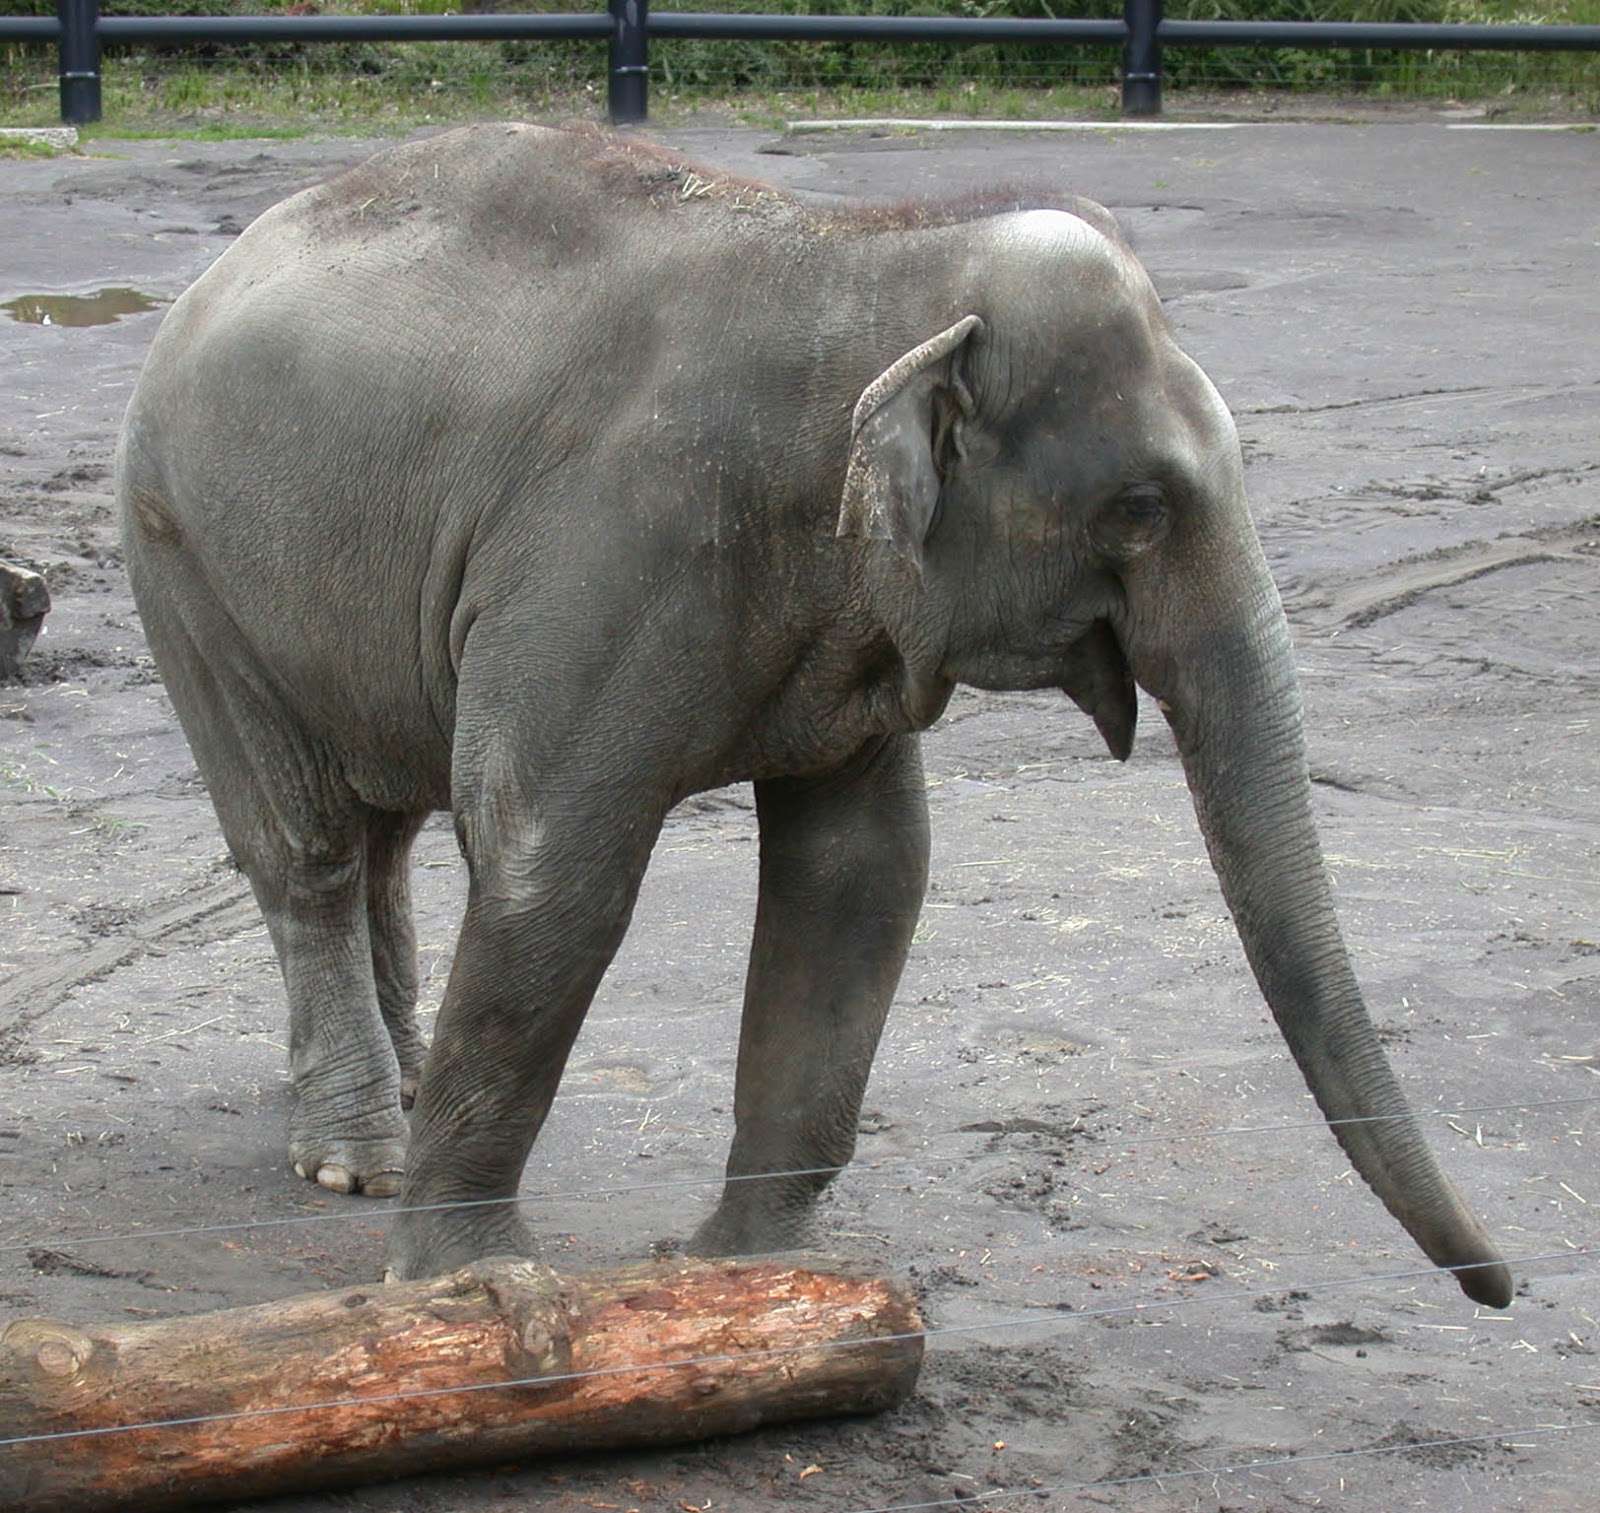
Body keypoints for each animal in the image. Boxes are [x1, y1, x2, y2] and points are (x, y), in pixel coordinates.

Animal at [117, 123, 1511, 1306]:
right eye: (1138, 510)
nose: (1499, 1288)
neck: (879, 256)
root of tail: (231, 255)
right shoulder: (608, 552)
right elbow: (549, 864)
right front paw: (474, 1280)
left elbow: (860, 872)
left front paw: (748, 1268)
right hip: (181, 556)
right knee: (305, 843)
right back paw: (359, 1158)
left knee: (387, 821)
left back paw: (398, 1093)